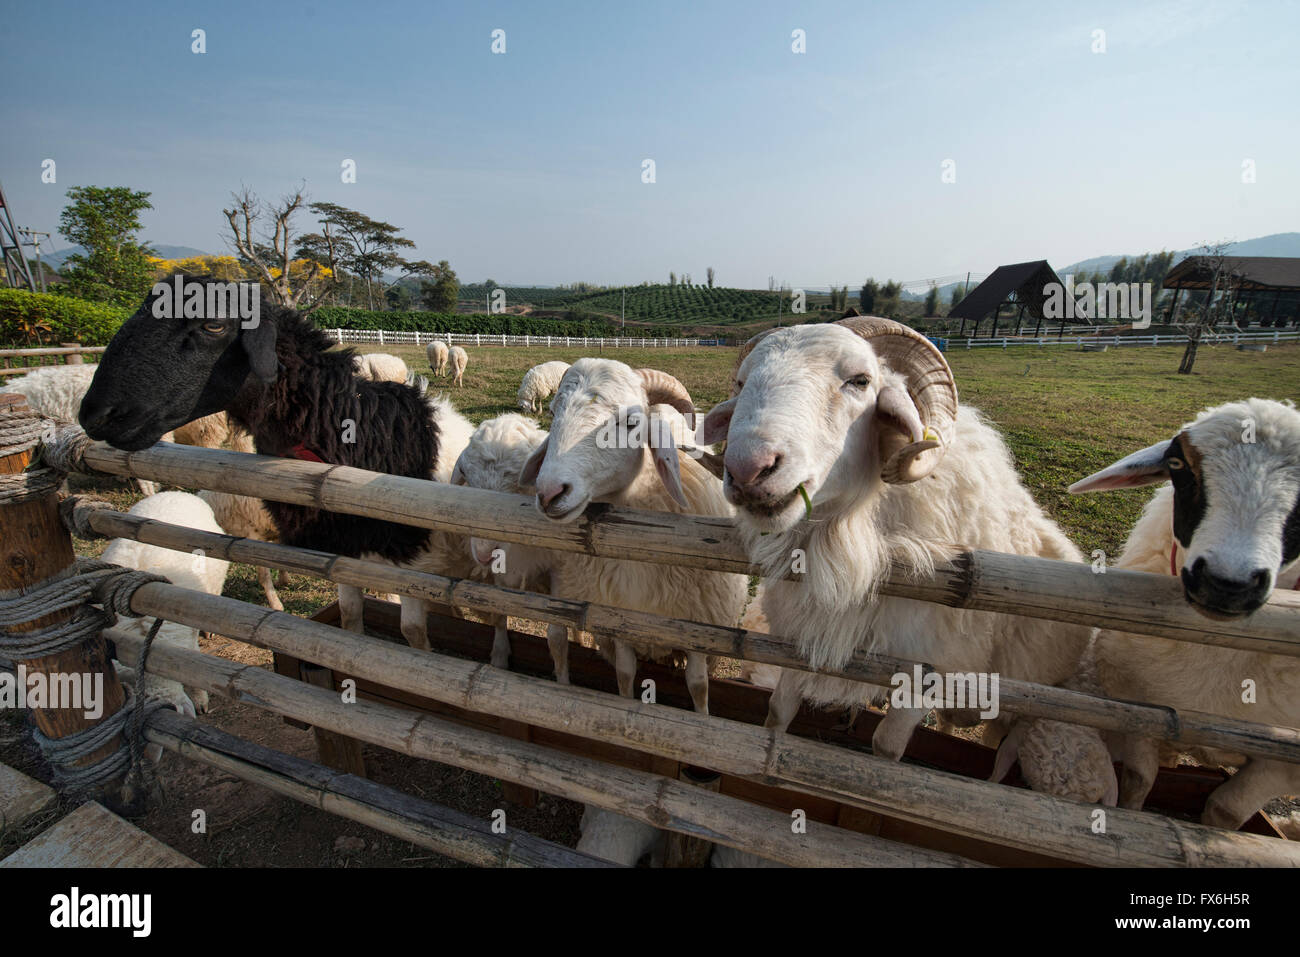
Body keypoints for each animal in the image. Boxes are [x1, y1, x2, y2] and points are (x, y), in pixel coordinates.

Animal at [521, 359, 749, 714]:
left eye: (630, 422)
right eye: (554, 412)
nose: (548, 492)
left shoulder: (698, 628)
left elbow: (698, 686)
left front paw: (703, 717)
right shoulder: (618, 623)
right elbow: (625, 675)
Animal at [699, 317, 1093, 759]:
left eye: (861, 380)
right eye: (741, 382)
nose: (747, 469)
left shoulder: (929, 672)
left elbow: (887, 747)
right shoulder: (802, 640)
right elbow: (778, 713)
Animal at [1067, 397, 1300, 829]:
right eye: (1178, 465)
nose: (1228, 583)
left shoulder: (1283, 762)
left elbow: (1225, 811)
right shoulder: (1141, 710)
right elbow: (1139, 780)